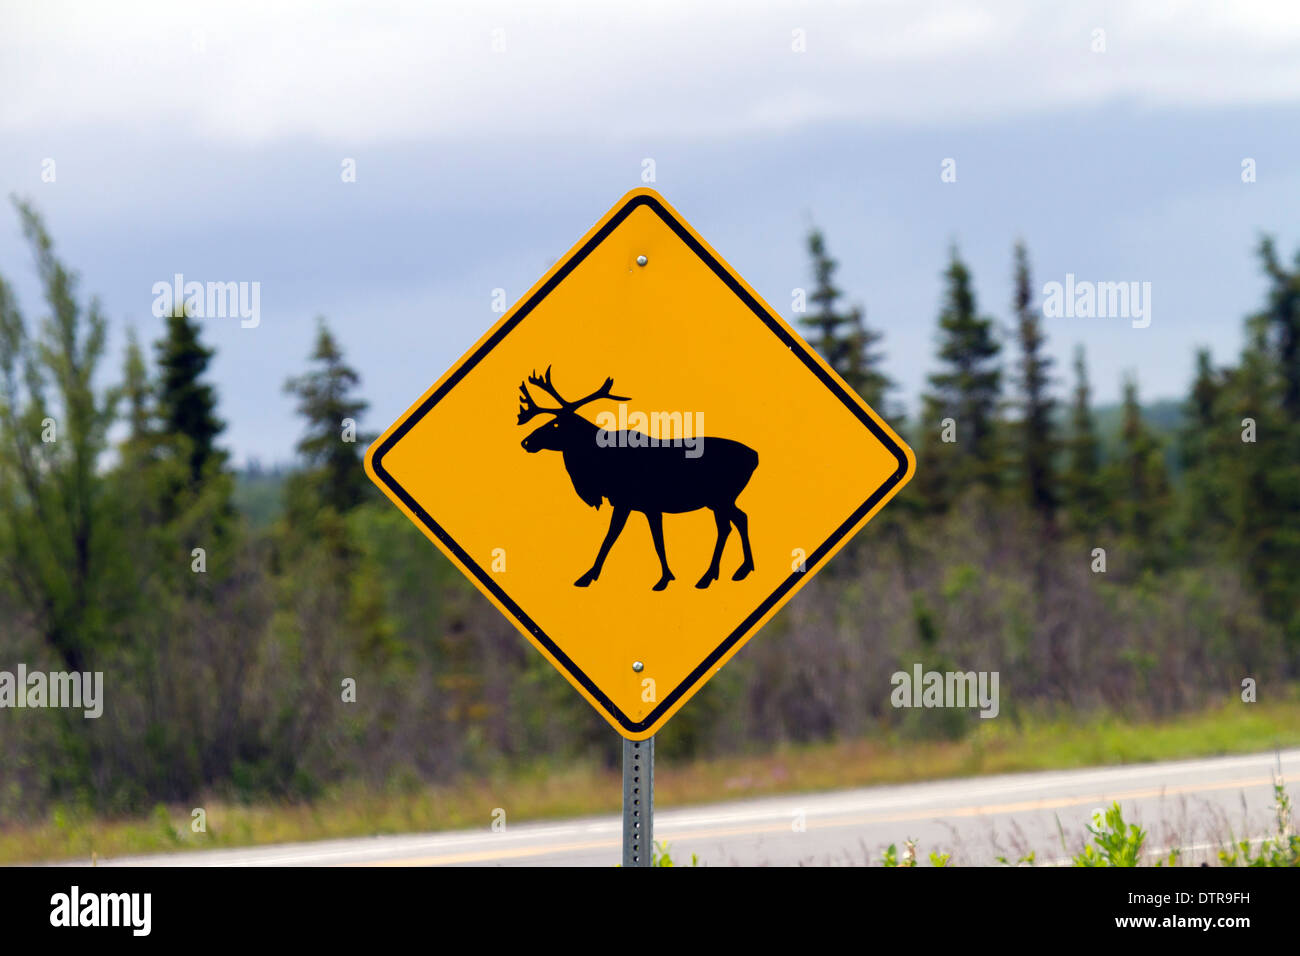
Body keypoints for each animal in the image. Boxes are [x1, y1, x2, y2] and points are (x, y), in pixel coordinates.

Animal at [517, 367, 758, 591]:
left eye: (555, 424)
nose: (526, 441)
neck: (598, 471)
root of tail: (755, 457)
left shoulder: (631, 503)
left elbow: (616, 537)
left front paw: (588, 577)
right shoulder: (644, 506)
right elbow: (652, 540)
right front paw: (666, 576)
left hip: (721, 498)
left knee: (727, 526)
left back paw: (710, 576)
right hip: (721, 501)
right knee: (739, 519)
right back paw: (740, 569)